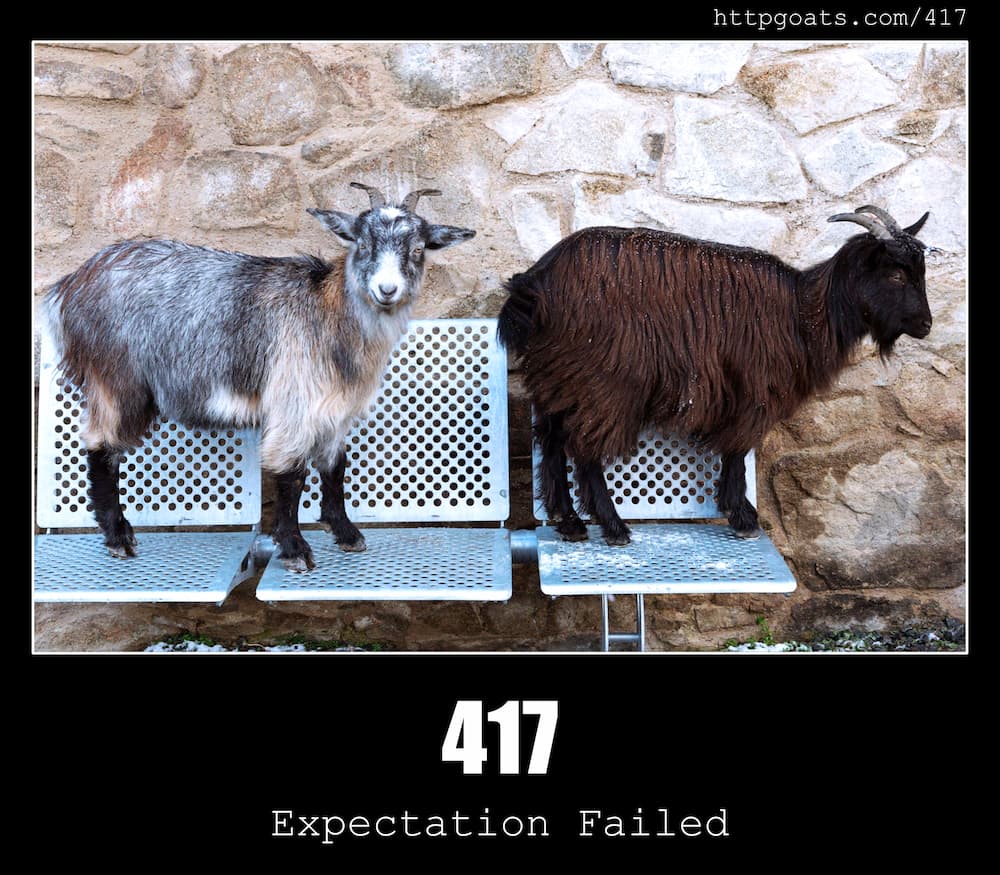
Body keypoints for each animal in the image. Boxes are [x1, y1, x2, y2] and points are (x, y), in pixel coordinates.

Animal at [44, 182, 476, 571]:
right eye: (362, 244)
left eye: (418, 249)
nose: (387, 289)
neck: (328, 314)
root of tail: (69, 287)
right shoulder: (294, 401)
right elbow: (292, 476)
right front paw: (295, 549)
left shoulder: (335, 409)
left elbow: (335, 466)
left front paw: (347, 533)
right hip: (115, 377)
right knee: (102, 445)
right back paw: (118, 537)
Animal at [497, 205, 933, 546]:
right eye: (895, 275)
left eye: (921, 271)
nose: (926, 325)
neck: (803, 313)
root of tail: (534, 284)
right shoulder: (754, 390)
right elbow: (738, 449)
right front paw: (742, 516)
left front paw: (736, 509)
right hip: (604, 381)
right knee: (585, 448)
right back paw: (613, 526)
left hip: (558, 377)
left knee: (553, 441)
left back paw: (569, 523)